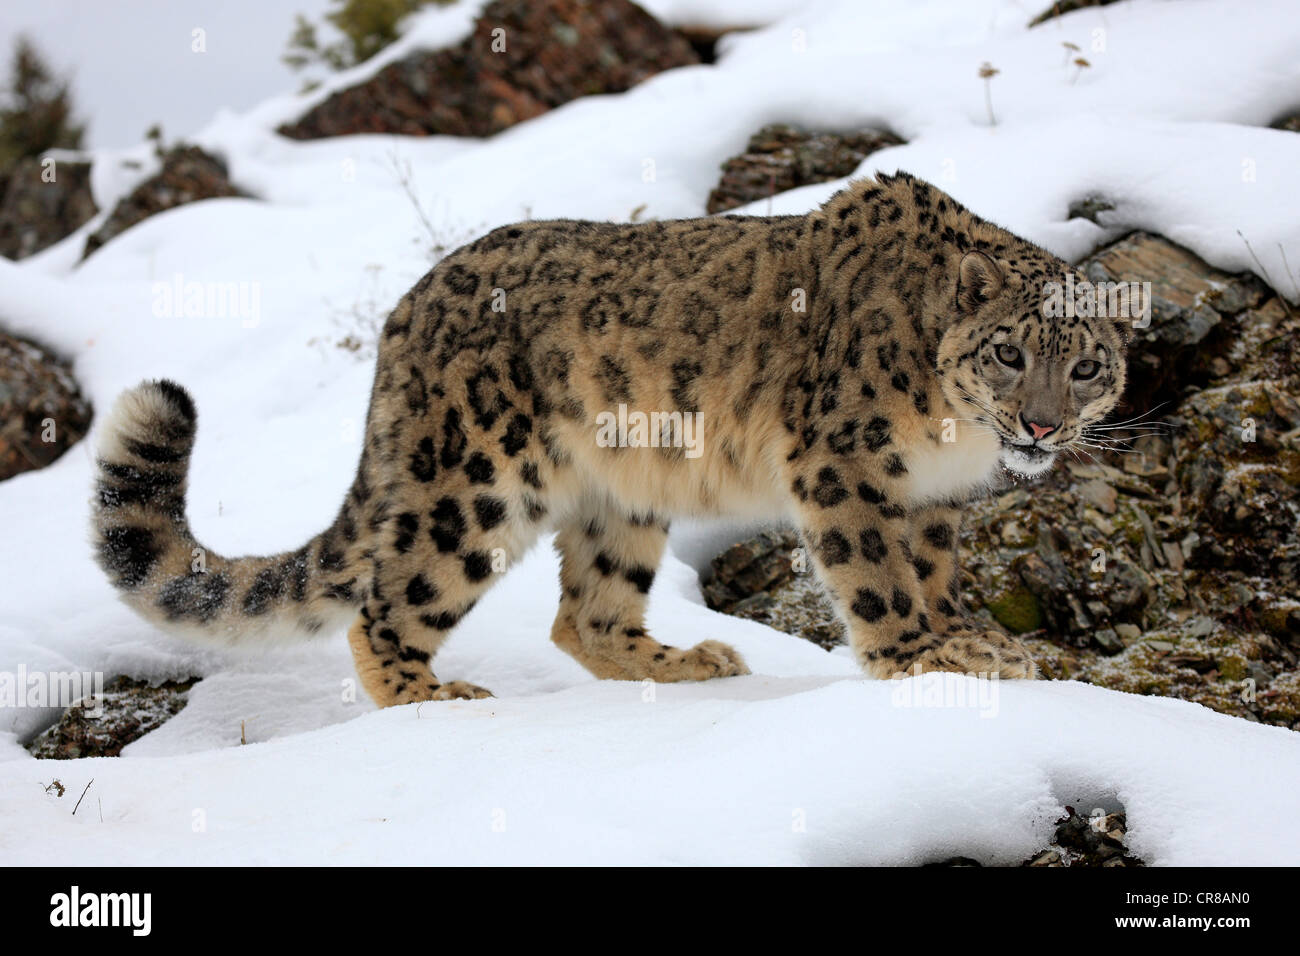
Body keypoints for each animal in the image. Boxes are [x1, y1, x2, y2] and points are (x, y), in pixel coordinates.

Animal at [92, 172, 1128, 707]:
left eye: (1086, 367)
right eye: (1008, 352)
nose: (1041, 423)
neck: (952, 434)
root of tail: (406, 311)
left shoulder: (933, 498)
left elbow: (934, 571)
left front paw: (967, 637)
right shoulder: (844, 465)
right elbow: (876, 575)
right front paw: (921, 658)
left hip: (624, 496)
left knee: (584, 613)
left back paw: (686, 663)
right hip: (472, 483)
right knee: (386, 604)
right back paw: (428, 698)